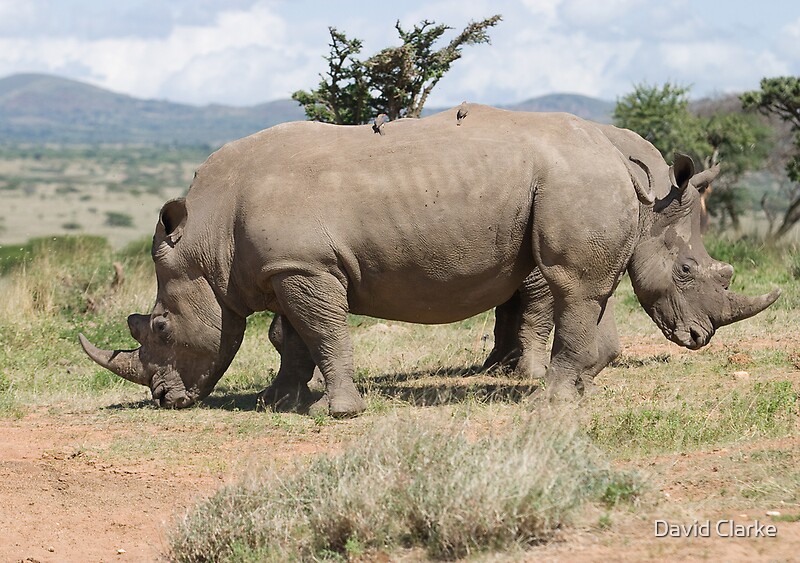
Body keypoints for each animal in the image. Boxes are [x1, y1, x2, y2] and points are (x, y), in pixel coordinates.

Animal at [80, 105, 779, 415]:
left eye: (160, 327)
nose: (166, 399)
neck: (206, 238)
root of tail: (612, 157)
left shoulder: (304, 266)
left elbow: (323, 333)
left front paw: (338, 412)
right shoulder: (291, 268)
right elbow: (292, 337)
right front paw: (279, 402)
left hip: (571, 182)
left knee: (570, 285)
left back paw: (548, 401)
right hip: (573, 185)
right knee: (585, 288)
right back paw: (576, 389)